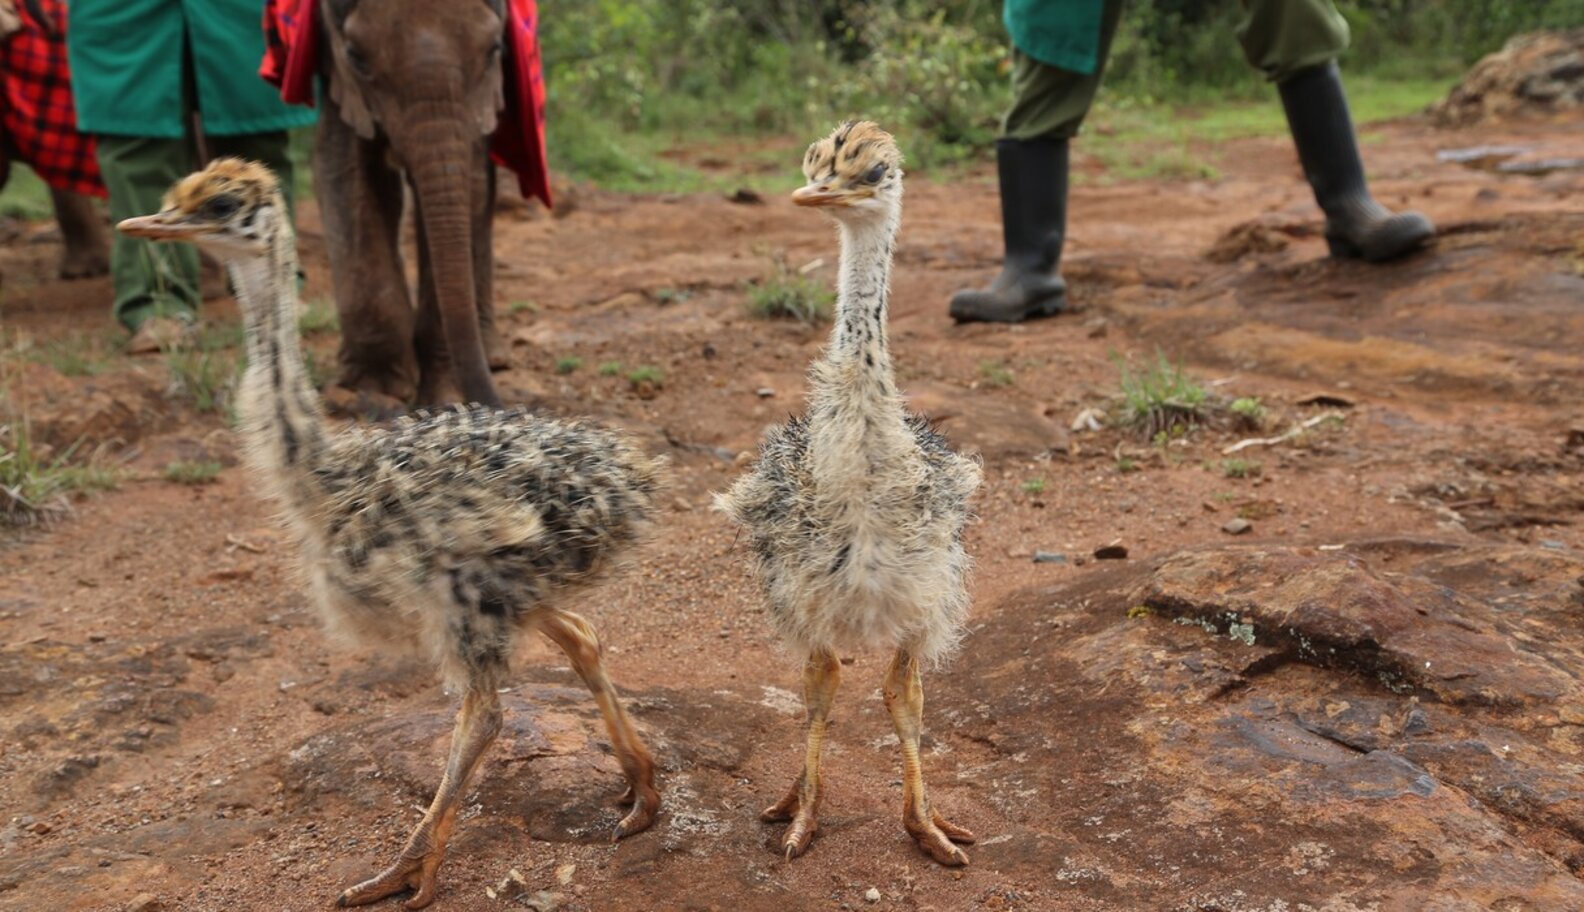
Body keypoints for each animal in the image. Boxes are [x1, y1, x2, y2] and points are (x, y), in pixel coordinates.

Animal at [315, 0, 512, 411]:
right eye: (356, 57)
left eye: (495, 50)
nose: (494, 408)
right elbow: (345, 169)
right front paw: (373, 389)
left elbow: (469, 182)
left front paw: (443, 399)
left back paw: (494, 357)